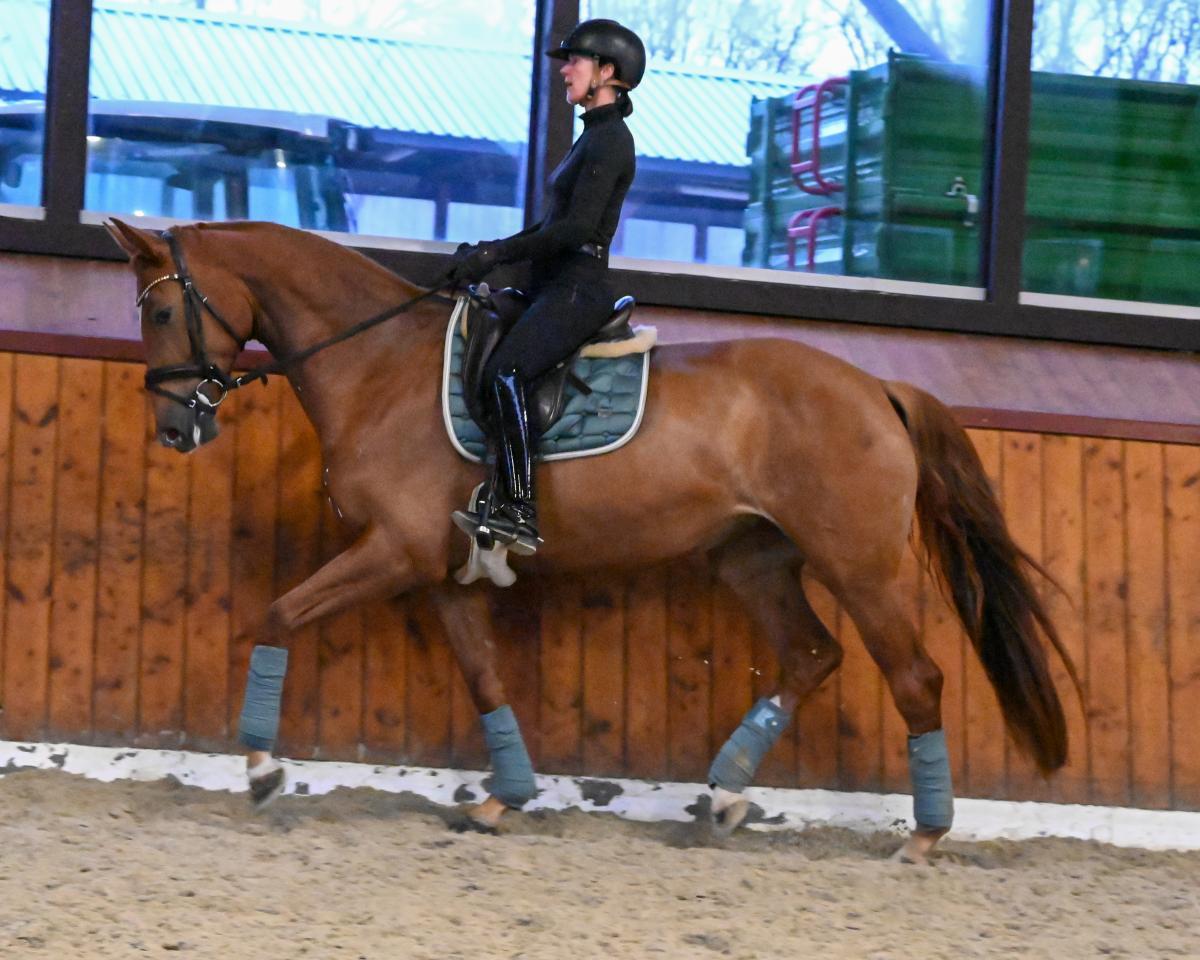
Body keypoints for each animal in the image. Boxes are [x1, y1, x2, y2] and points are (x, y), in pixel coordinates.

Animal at [106, 217, 1076, 864]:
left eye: (158, 313)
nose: (173, 430)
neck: (379, 367)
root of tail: (877, 386)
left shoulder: (394, 553)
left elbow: (277, 614)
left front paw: (263, 768)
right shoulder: (441, 571)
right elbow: (485, 677)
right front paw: (504, 799)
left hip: (860, 566)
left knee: (915, 677)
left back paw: (924, 836)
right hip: (753, 557)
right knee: (810, 655)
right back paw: (724, 795)